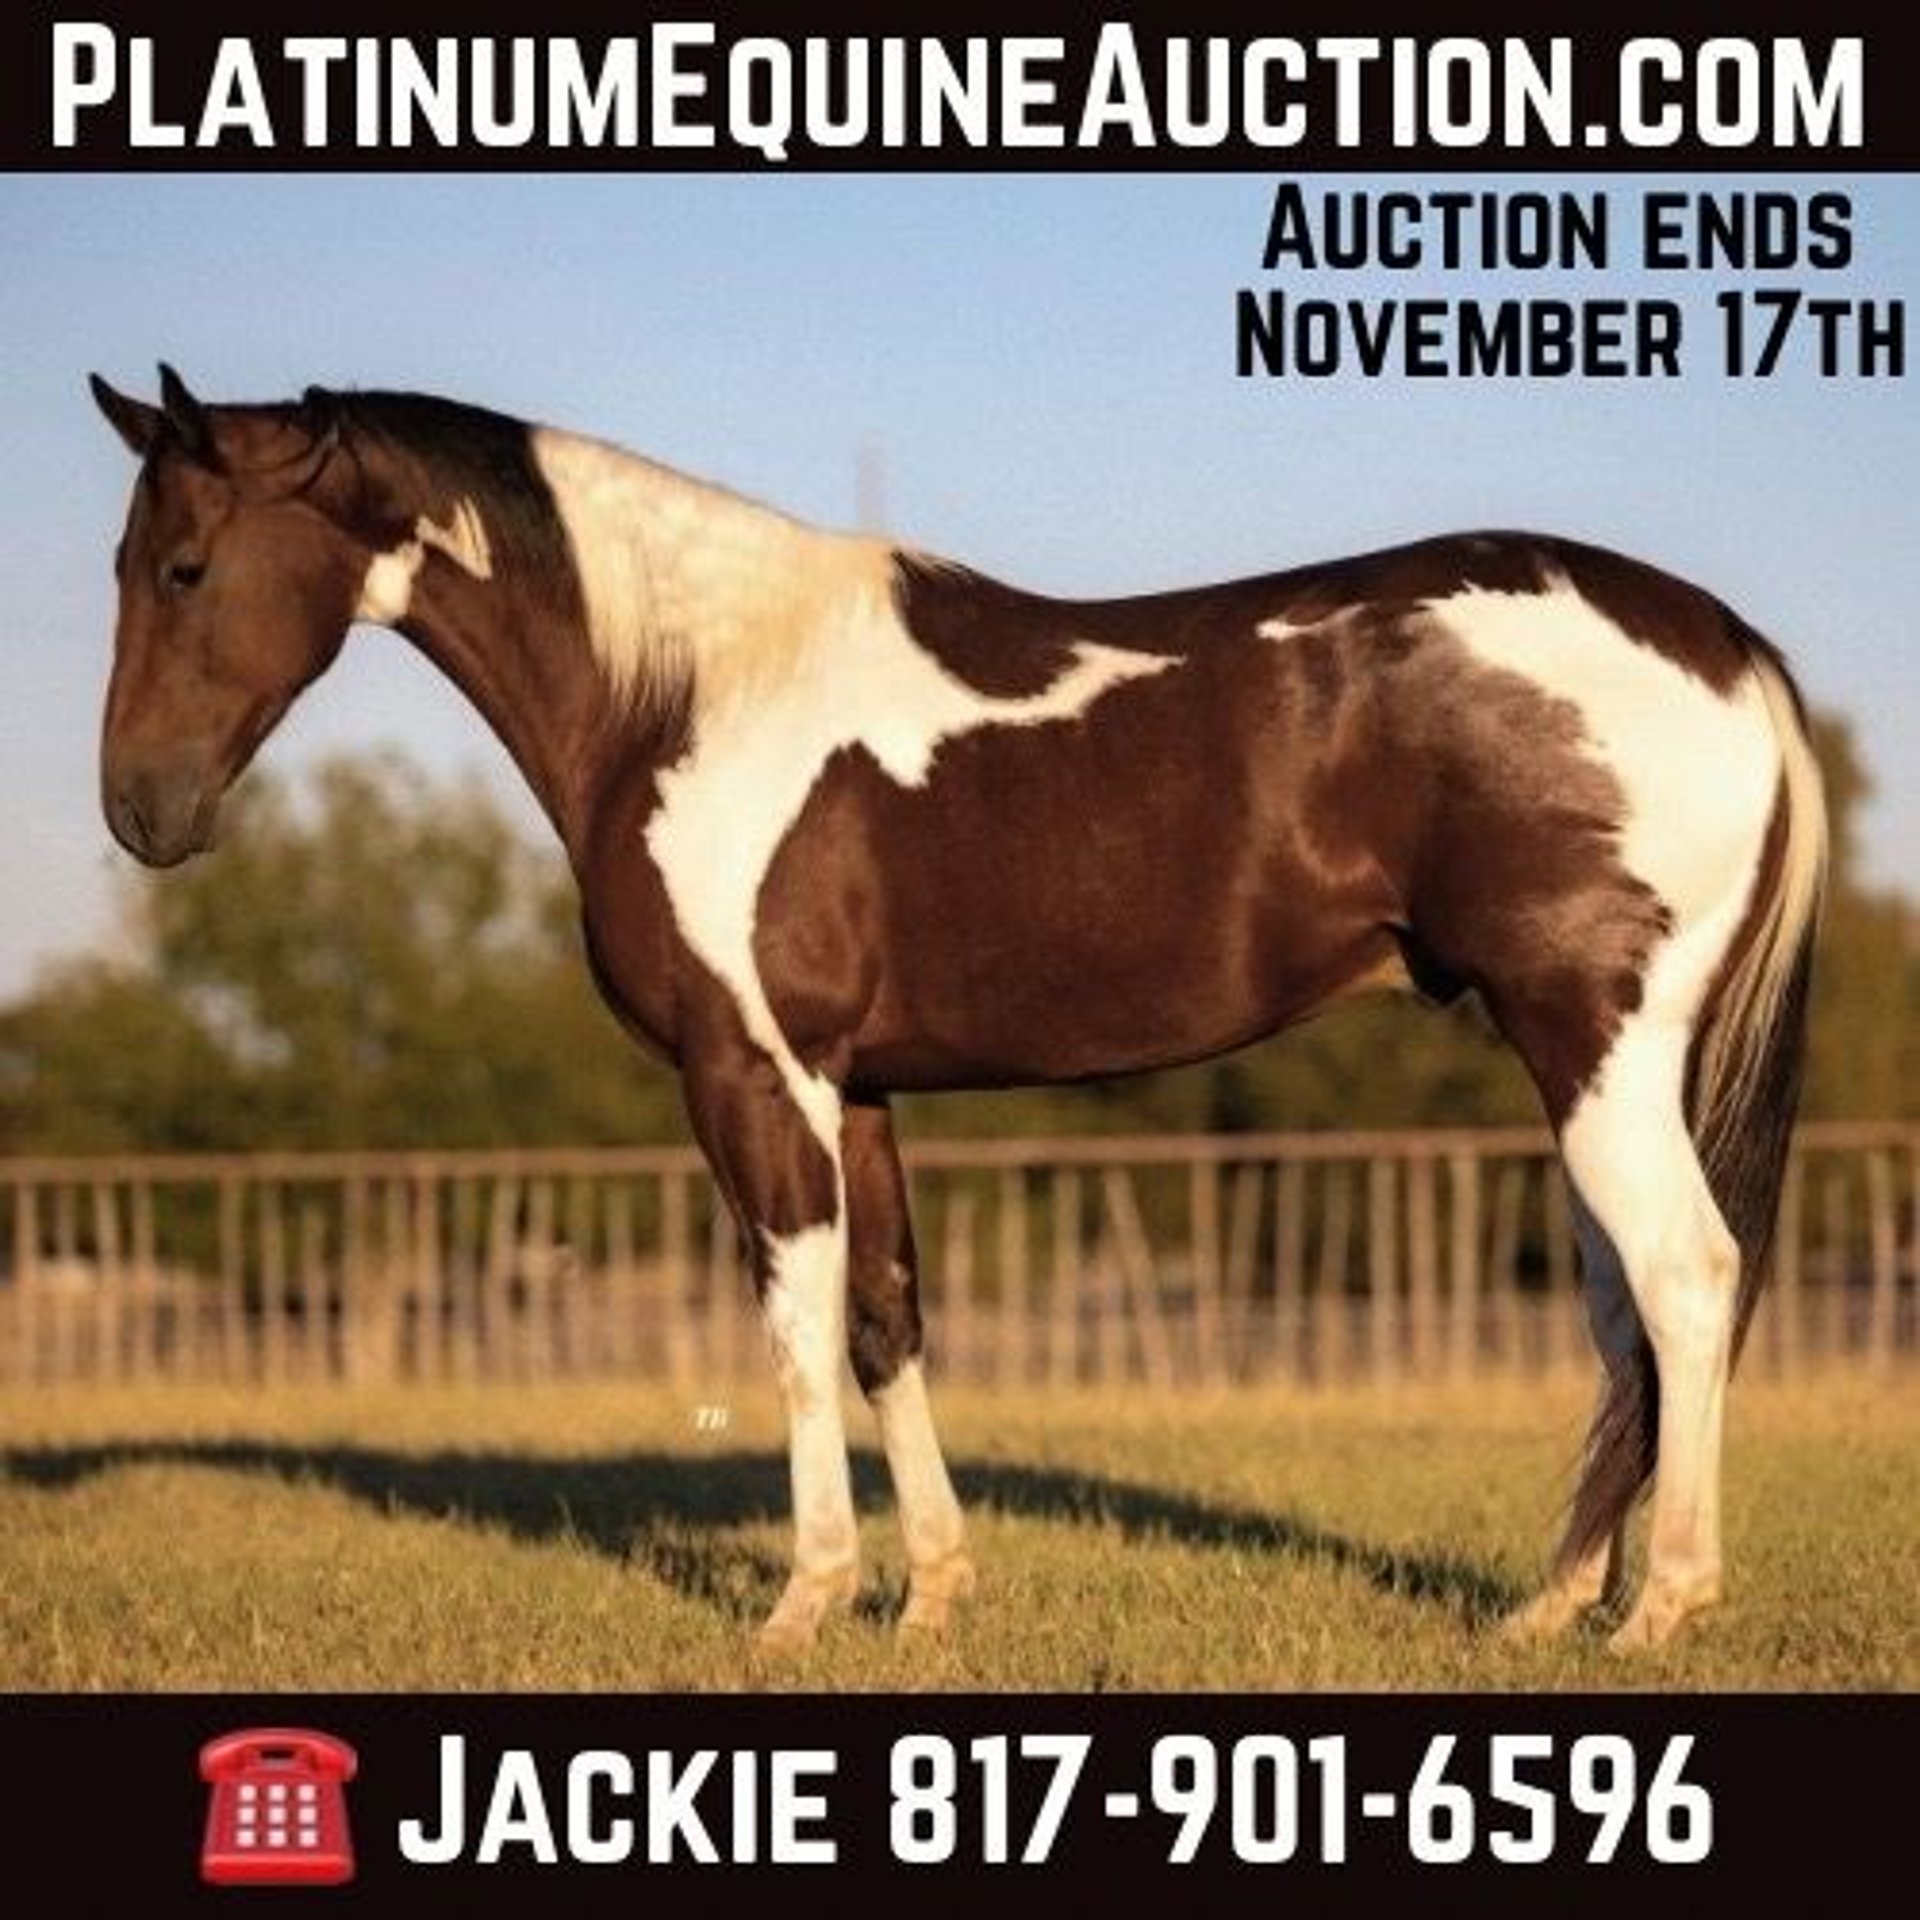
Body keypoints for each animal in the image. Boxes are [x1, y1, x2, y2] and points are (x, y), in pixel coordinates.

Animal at [89, 365, 1825, 1654]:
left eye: (185, 566)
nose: (139, 814)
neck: (693, 692)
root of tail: (1730, 645)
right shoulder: (854, 1085)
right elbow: (884, 1318)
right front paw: (929, 1595)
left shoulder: (753, 1074)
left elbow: (792, 1322)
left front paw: (805, 1601)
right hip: (1587, 1061)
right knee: (1621, 1314)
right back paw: (1548, 1608)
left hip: (1599, 1047)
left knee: (1685, 1280)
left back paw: (1659, 1612)